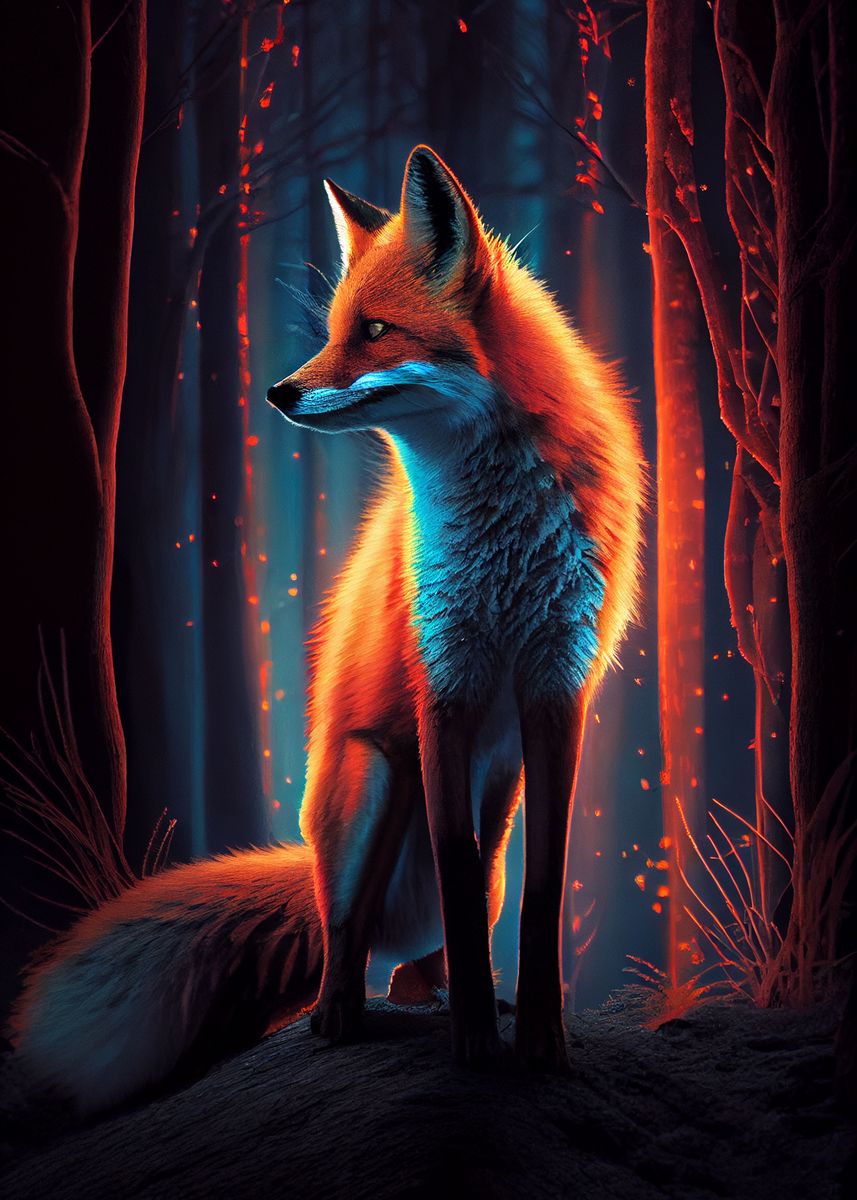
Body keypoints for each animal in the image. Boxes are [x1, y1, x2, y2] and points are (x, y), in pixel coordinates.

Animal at [10, 145, 644, 1114]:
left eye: (375, 332)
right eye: (338, 329)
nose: (278, 391)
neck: (498, 540)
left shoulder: (556, 690)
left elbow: (541, 893)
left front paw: (538, 1040)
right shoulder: (441, 688)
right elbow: (453, 873)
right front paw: (473, 1050)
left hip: (486, 806)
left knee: (435, 937)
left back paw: (434, 994)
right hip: (368, 791)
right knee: (344, 933)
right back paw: (337, 1016)